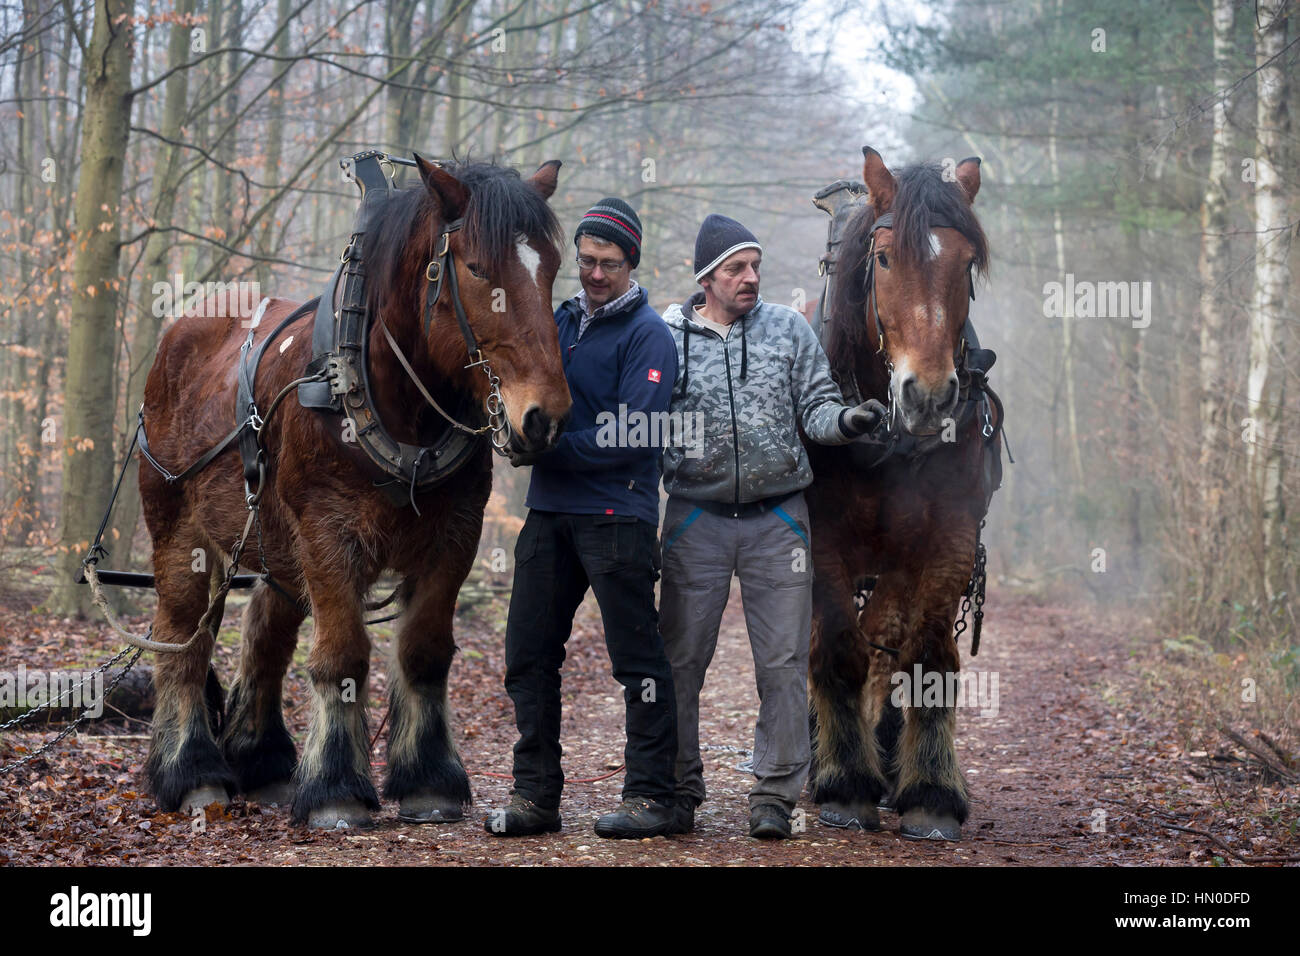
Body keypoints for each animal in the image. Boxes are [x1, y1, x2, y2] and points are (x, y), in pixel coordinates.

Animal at [137, 156, 572, 829]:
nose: (543, 417)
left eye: (549, 267)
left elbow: (424, 653)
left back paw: (261, 761)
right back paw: (193, 772)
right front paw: (336, 790)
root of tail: (180, 331)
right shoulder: (326, 532)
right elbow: (342, 657)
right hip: (179, 528)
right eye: (477, 269)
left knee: (264, 634)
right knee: (183, 637)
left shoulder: (456, 536)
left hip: (274, 543)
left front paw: (428, 780)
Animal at [805, 146, 1001, 841]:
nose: (931, 397)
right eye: (885, 258)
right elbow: (839, 648)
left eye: (965, 263)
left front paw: (931, 790)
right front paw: (843, 781)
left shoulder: (949, 534)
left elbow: (926, 653)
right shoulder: (821, 537)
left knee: (887, 635)